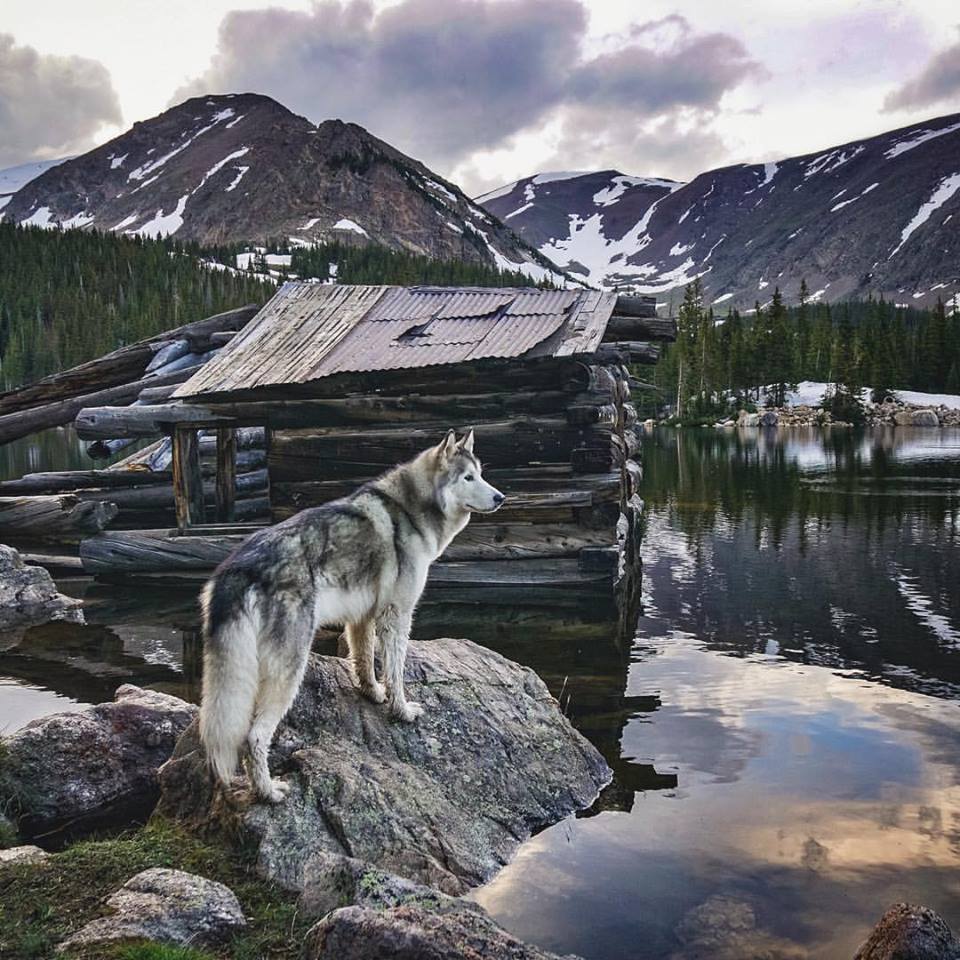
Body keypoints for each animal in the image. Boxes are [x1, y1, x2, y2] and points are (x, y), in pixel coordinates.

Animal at [198, 429, 504, 802]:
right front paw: (402, 711)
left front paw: (373, 695)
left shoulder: (363, 619)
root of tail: (236, 568)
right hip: (289, 672)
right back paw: (269, 792)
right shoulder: (396, 617)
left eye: (481, 474)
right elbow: (396, 671)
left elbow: (364, 663)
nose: (501, 497)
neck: (411, 509)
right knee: (254, 736)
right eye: (468, 478)